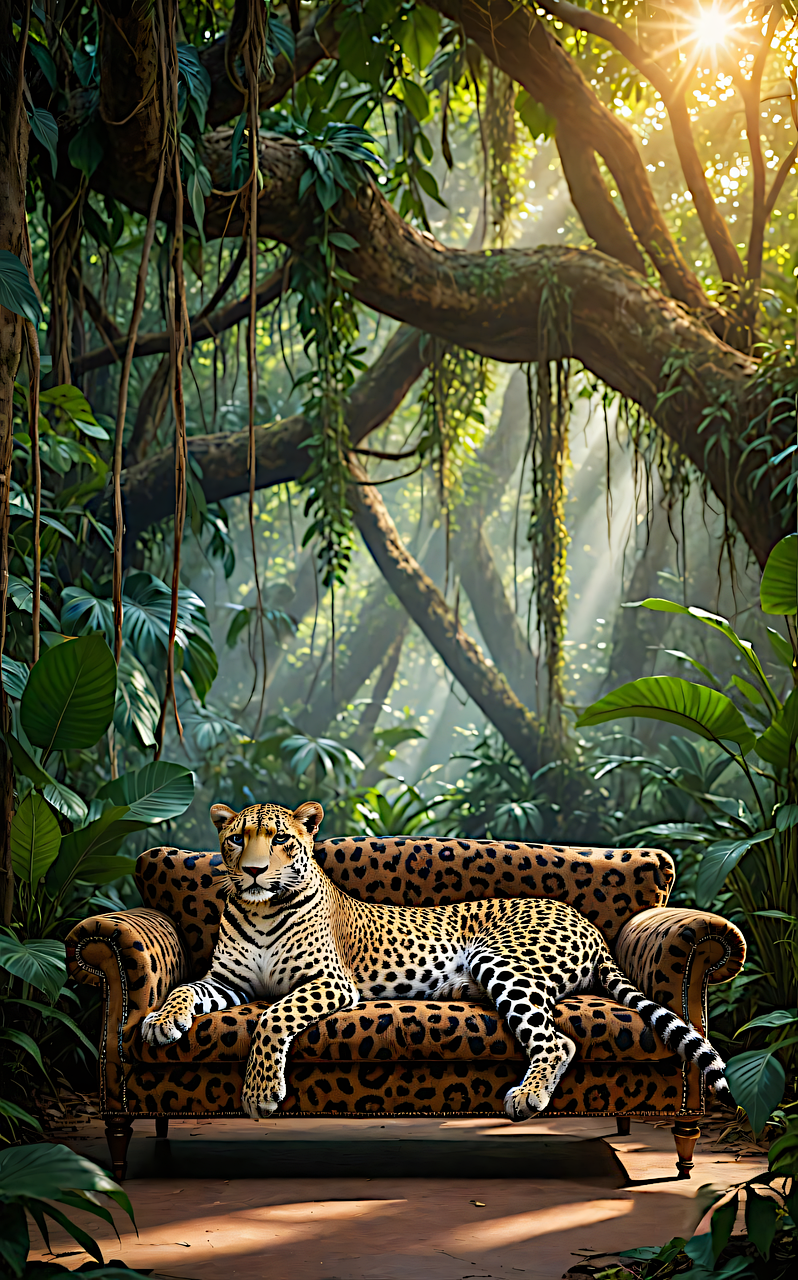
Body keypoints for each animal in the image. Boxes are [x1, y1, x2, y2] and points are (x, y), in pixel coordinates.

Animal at [141, 800, 732, 1121]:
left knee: (558, 1040)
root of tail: (584, 919)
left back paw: (527, 1097)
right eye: (236, 840)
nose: (255, 872)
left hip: (503, 960)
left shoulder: (331, 983)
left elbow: (271, 1016)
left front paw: (261, 1093)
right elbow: (185, 988)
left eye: (282, 839)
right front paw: (159, 1021)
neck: (262, 908)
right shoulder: (227, 982)